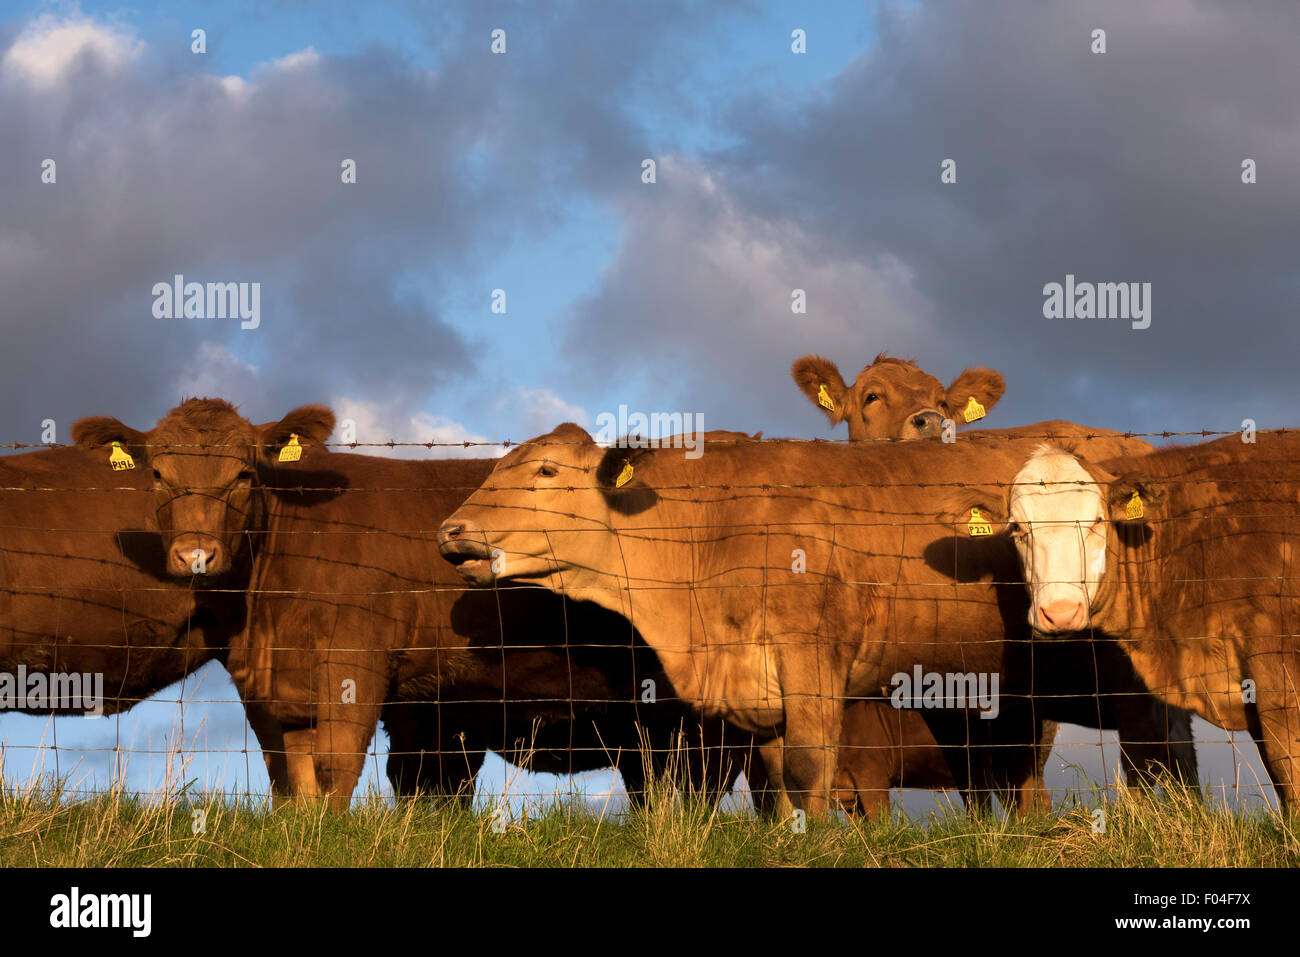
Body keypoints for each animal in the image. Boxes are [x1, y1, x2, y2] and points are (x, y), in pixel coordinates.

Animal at [437, 424, 1209, 814]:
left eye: (544, 471)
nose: (452, 528)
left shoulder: (813, 661)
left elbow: (812, 771)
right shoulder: (764, 694)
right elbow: (780, 781)